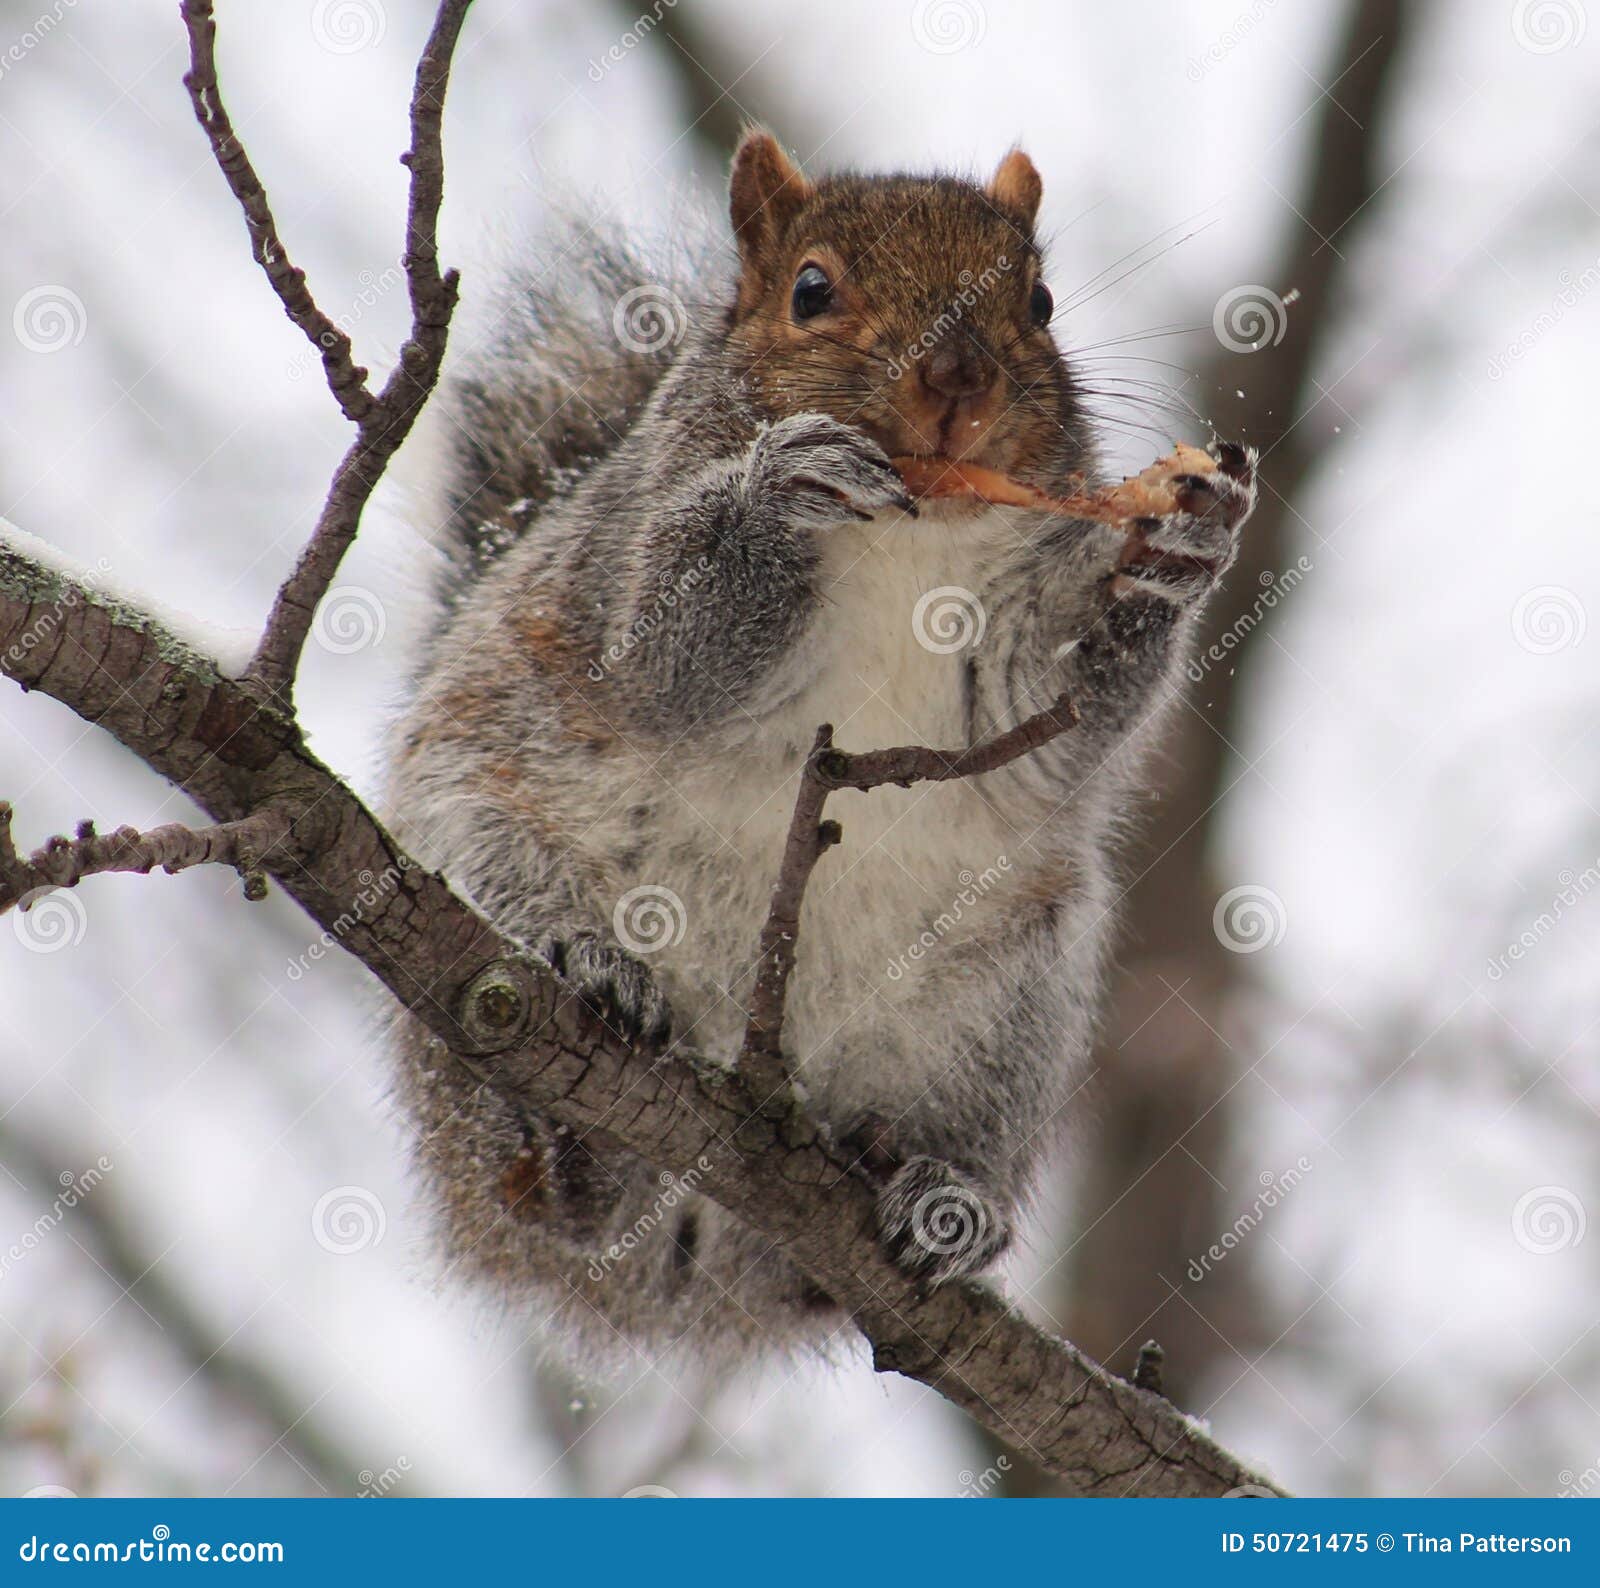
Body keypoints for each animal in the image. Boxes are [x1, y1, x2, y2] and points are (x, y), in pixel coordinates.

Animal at [384, 130, 1256, 1367]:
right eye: (810, 291)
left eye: (1038, 302)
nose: (959, 379)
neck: (909, 527)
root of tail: (686, 1270)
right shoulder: (618, 564)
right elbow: (662, 649)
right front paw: (778, 488)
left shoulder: (1007, 668)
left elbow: (1059, 709)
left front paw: (1176, 546)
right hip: (472, 857)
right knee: (530, 1175)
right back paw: (573, 1078)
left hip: (1013, 1003)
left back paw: (941, 1193)